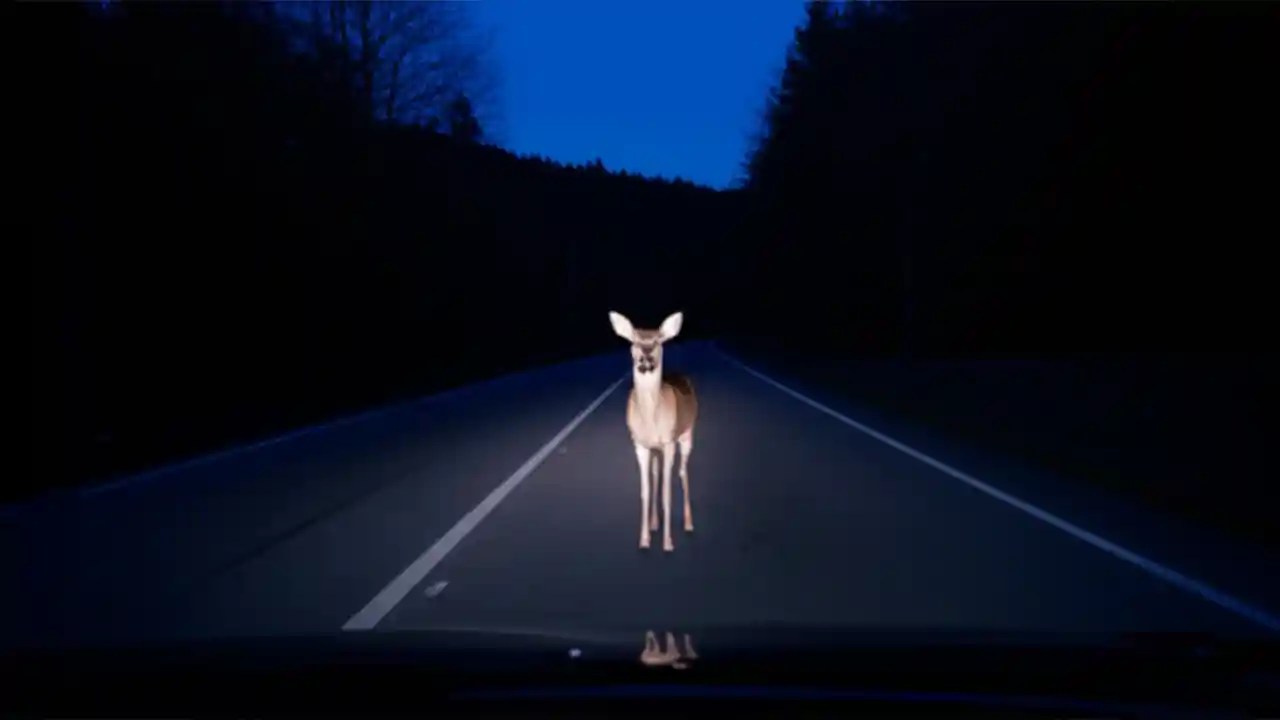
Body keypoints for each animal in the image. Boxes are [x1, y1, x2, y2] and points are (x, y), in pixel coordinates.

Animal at [608, 311, 698, 552]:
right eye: (634, 340)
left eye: (658, 340)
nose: (646, 355)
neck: (650, 419)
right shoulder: (640, 444)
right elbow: (646, 490)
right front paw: (644, 539)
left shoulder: (668, 442)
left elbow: (667, 492)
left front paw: (668, 543)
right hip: (657, 449)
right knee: (657, 474)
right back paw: (655, 523)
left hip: (687, 435)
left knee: (683, 472)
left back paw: (688, 523)